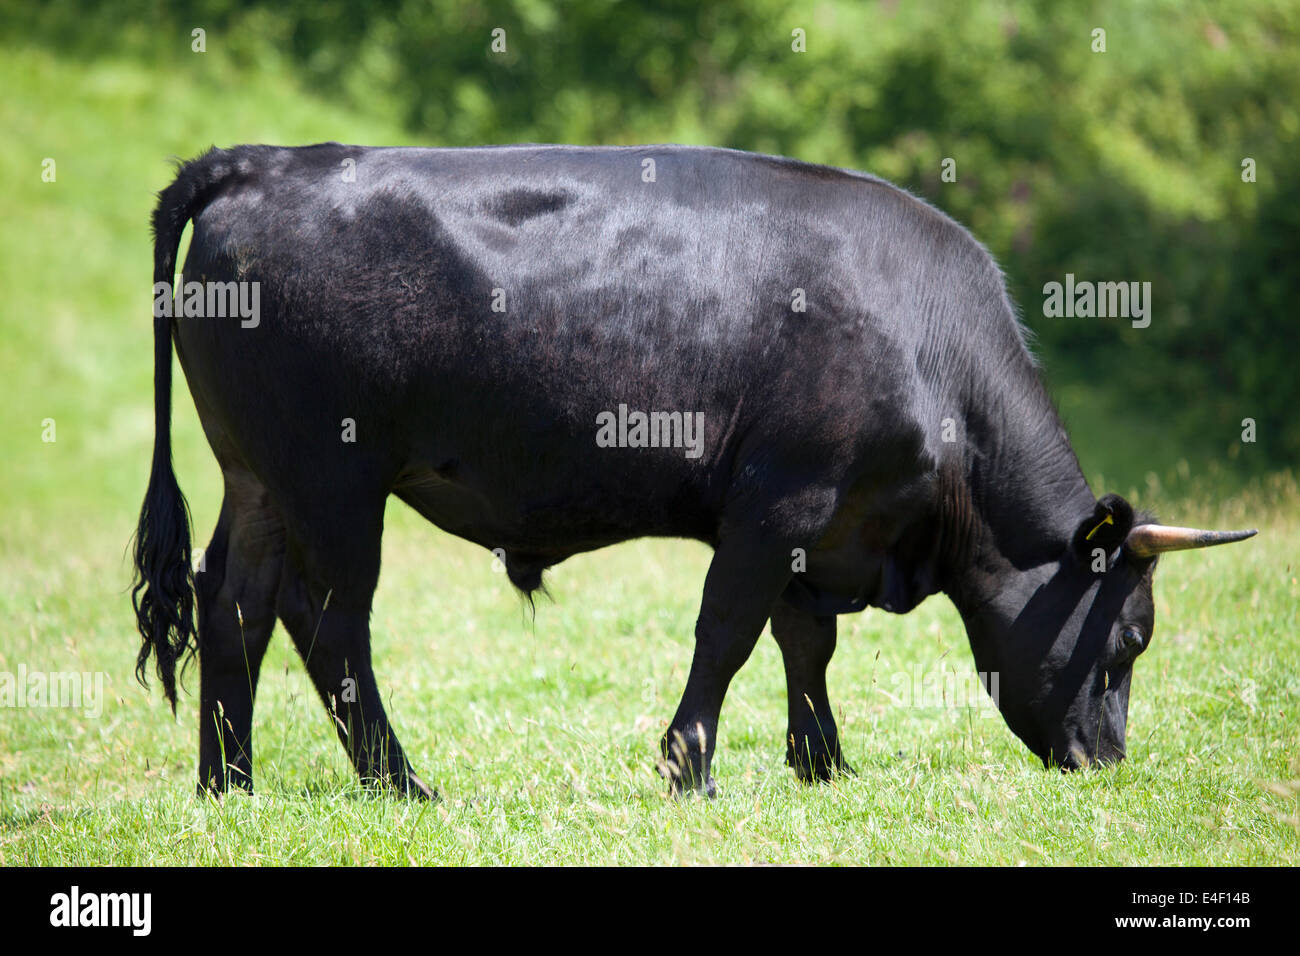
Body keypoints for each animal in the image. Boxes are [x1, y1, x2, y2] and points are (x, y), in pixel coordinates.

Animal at [132, 143, 1256, 799]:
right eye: (1128, 637)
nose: (1105, 760)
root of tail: (264, 162)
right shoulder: (780, 500)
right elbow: (729, 633)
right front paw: (690, 768)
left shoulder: (826, 525)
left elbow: (805, 646)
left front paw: (822, 766)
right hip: (333, 478)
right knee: (330, 624)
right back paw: (401, 783)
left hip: (258, 478)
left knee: (234, 605)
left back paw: (229, 783)